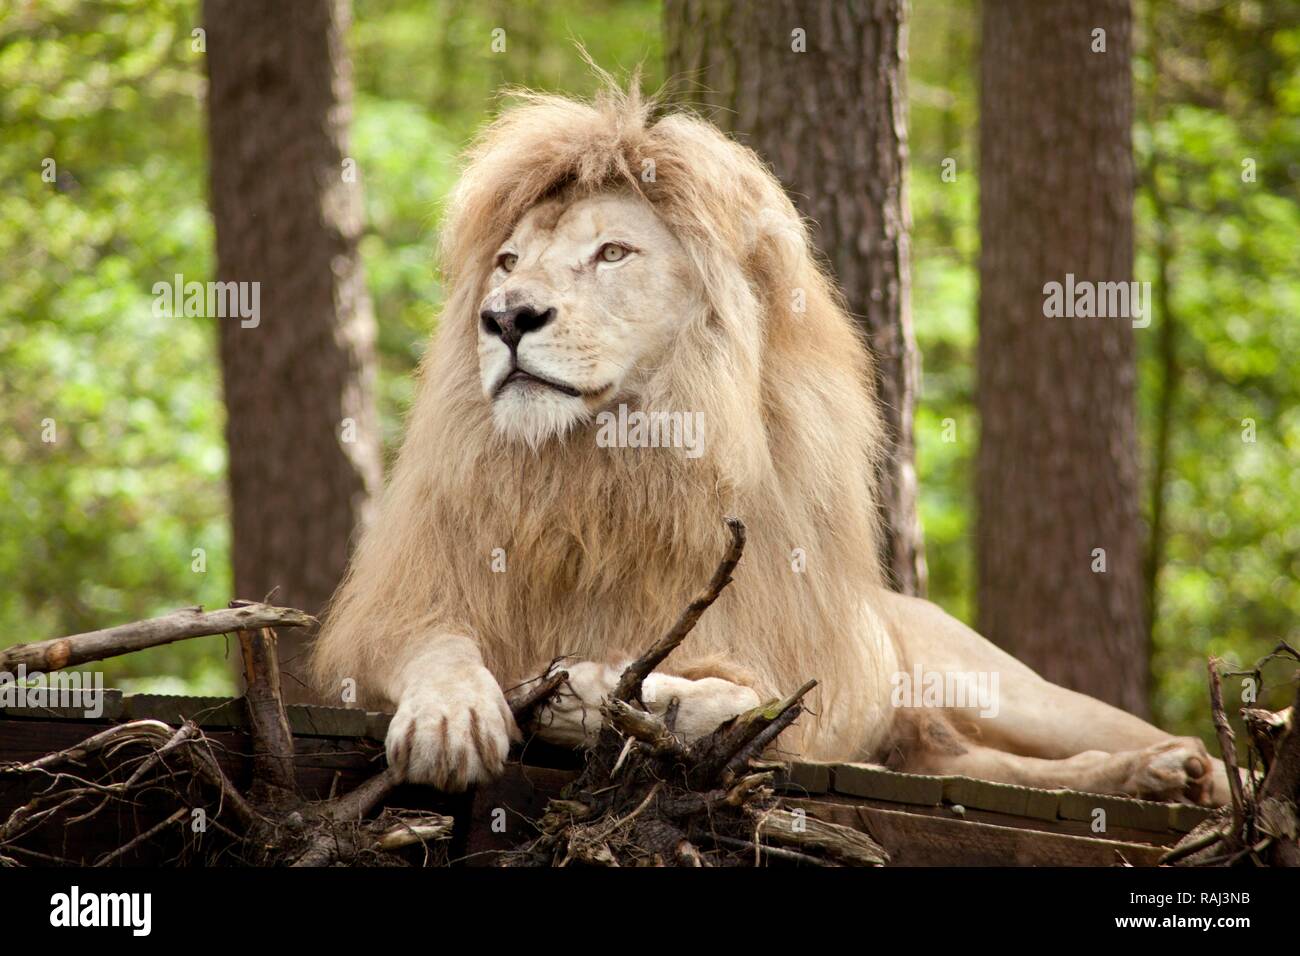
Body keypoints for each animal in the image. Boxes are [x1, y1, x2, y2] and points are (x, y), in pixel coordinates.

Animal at [312, 83, 1229, 806]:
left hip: (1003, 687)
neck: (597, 472)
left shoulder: (790, 671)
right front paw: (451, 716)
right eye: (506, 261)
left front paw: (600, 689)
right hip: (941, 737)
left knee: (1106, 734)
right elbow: (437, 645)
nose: (504, 317)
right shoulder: (393, 612)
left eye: (612, 253)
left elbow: (733, 699)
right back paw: (1152, 778)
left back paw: (1191, 771)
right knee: (989, 766)